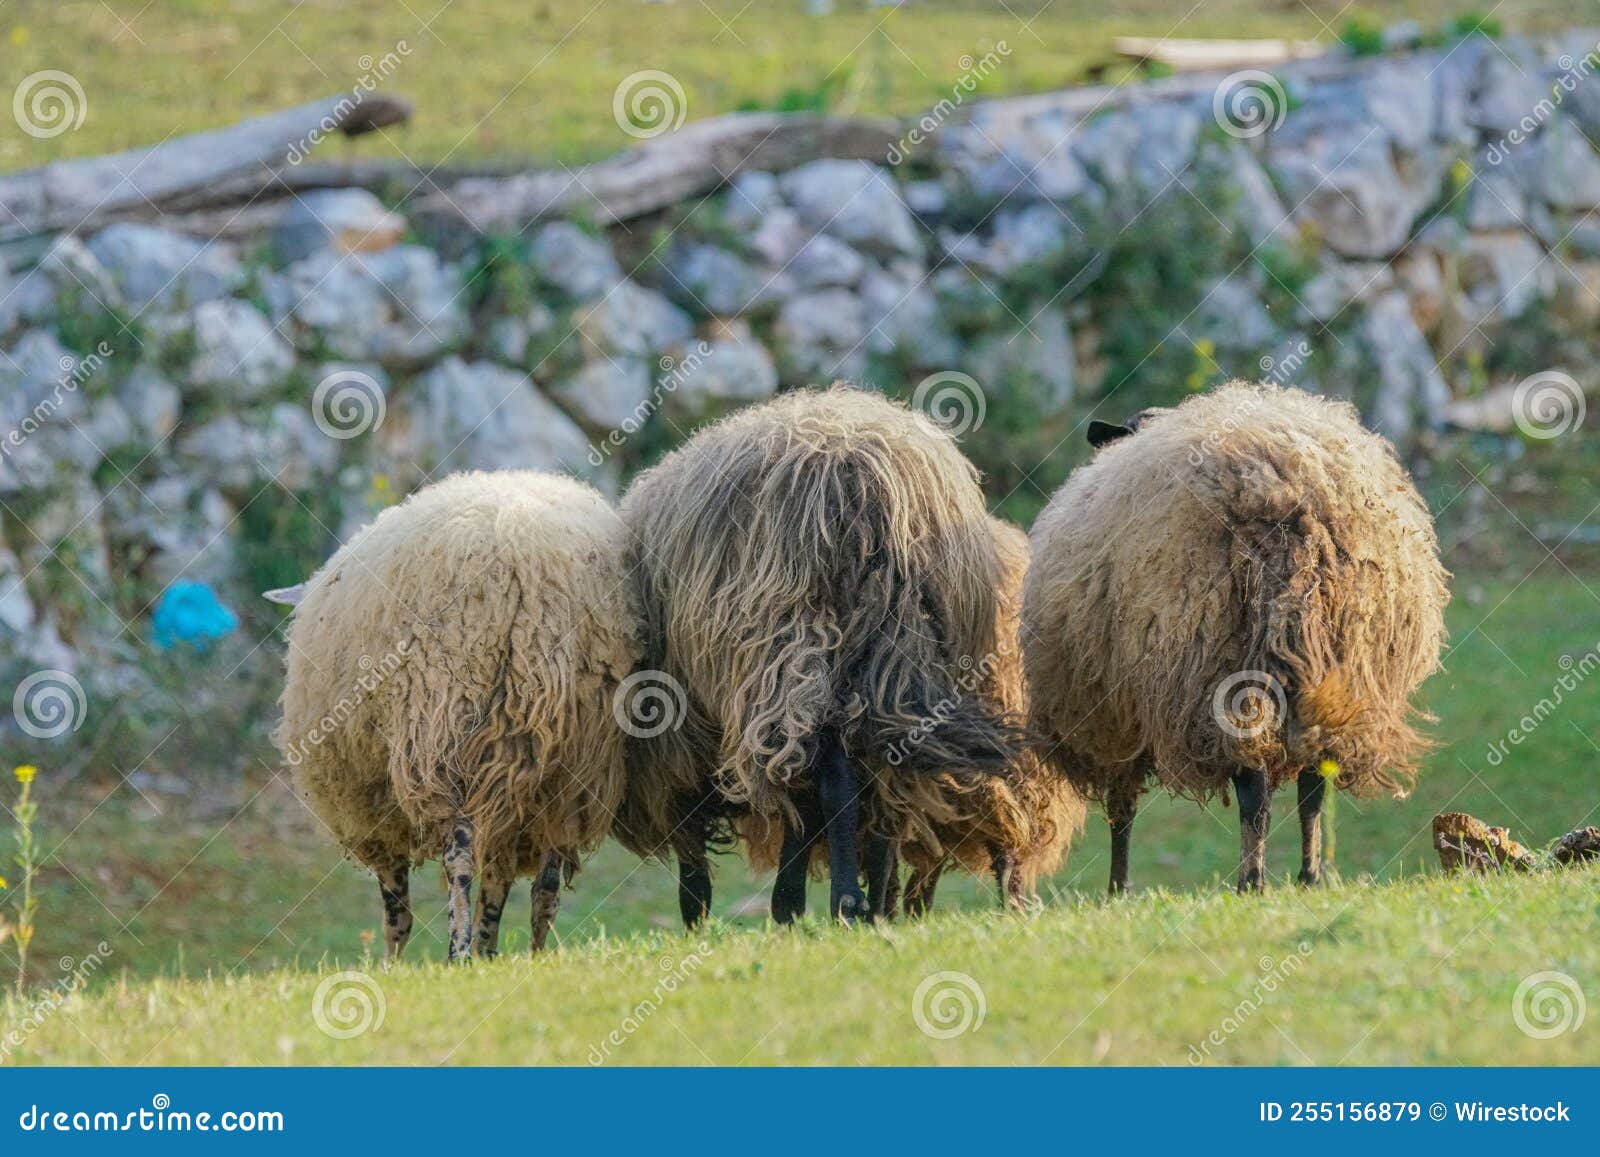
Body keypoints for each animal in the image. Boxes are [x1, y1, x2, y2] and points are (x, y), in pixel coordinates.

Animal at [277, 470, 640, 961]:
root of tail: (528, 559)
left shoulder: (374, 815)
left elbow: (397, 907)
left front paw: (393, 963)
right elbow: (498, 887)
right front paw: (488, 950)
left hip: (446, 732)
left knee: (460, 856)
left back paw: (458, 952)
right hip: (576, 760)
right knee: (545, 883)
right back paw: (531, 955)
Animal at [612, 384, 1021, 923]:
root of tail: (867, 479)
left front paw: (708, 909)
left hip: (800, 642)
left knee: (836, 777)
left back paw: (844, 900)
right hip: (893, 656)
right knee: (874, 772)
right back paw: (872, 899)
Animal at [1023, 381, 1448, 894]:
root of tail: (1295, 506)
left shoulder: (1111, 718)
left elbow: (1121, 811)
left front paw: (1117, 890)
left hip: (1220, 665)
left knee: (1254, 788)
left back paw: (1251, 880)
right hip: (1338, 670)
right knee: (1313, 783)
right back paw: (1309, 875)